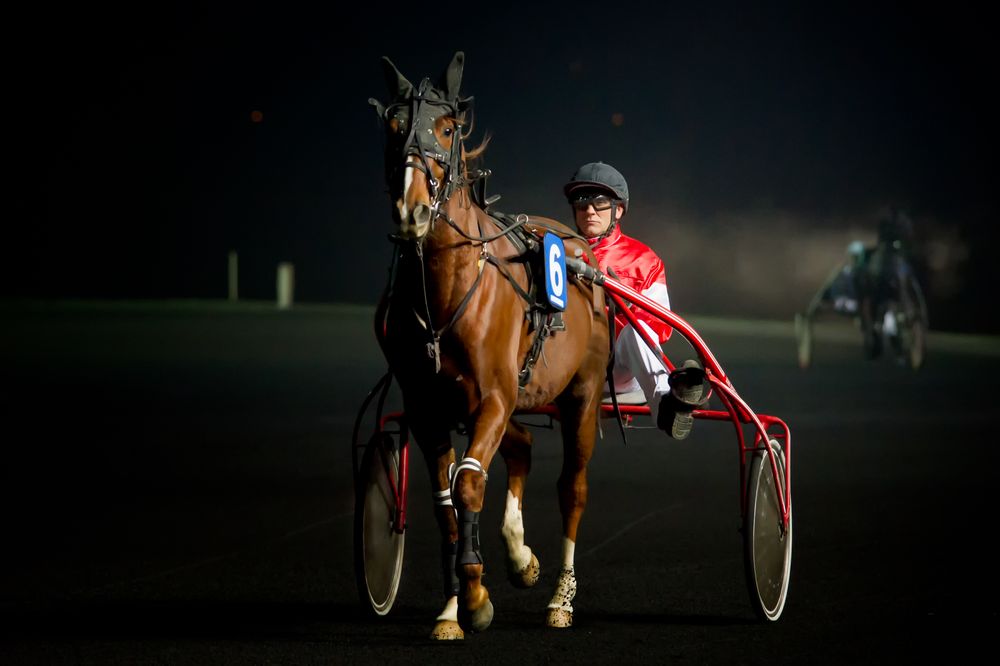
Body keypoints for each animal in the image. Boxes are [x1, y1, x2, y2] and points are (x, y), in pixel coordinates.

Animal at [368, 51, 611, 639]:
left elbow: (470, 485)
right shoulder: (429, 406)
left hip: (582, 396)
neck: (445, 288)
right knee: (520, 446)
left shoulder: (494, 398)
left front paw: (475, 597)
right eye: (393, 126)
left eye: (446, 127)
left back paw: (560, 597)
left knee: (573, 488)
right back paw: (521, 558)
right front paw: (453, 606)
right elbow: (445, 501)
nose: (411, 211)